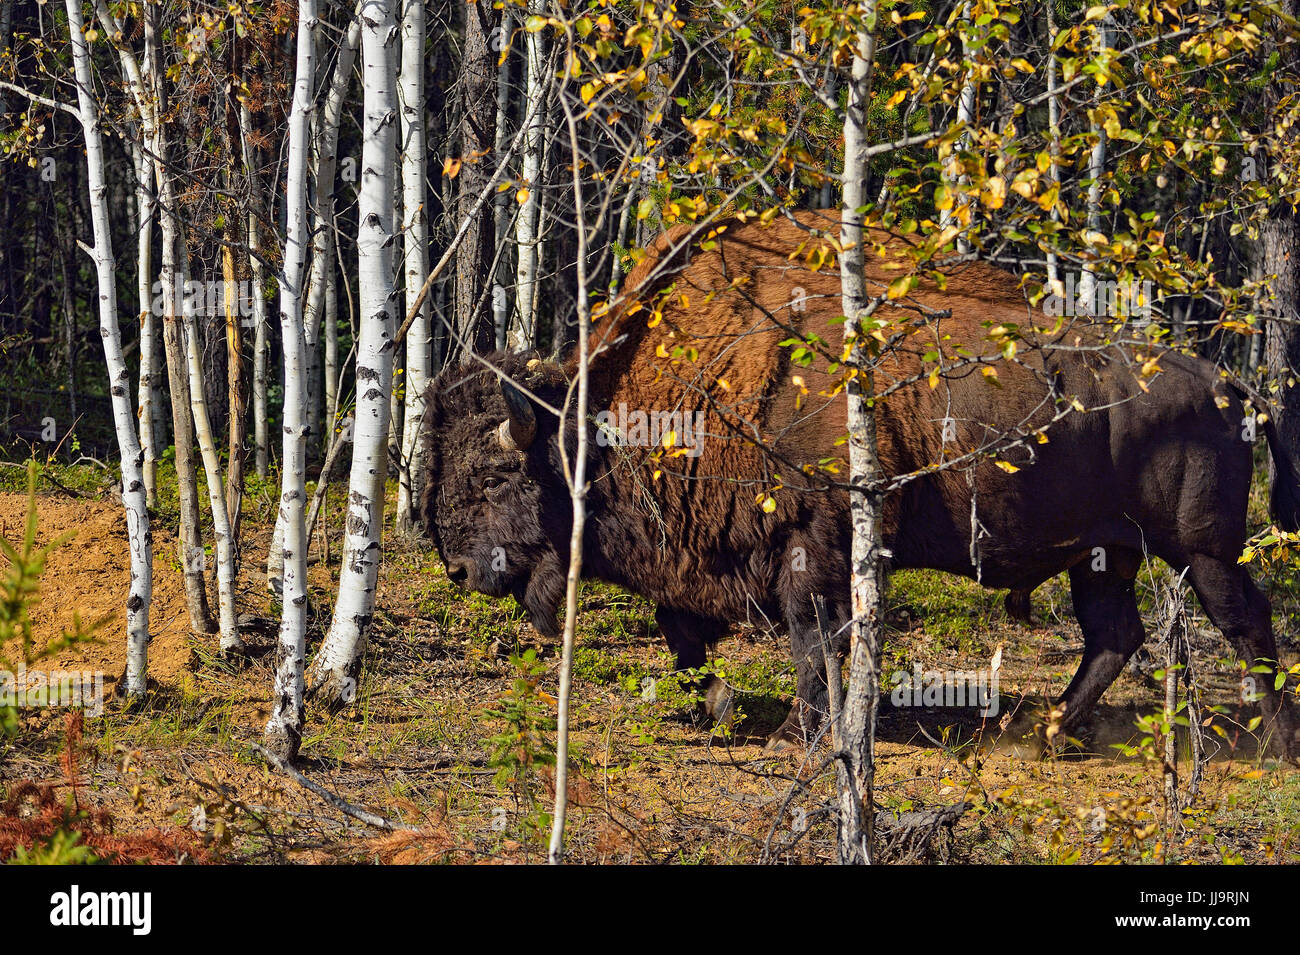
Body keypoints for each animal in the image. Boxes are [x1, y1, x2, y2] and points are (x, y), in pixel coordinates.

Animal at [422, 209, 1300, 756]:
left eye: (495, 472)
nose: (459, 568)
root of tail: (1227, 380)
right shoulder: (698, 557)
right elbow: (685, 636)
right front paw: (718, 709)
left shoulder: (813, 553)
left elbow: (813, 648)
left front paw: (806, 738)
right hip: (1105, 554)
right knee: (1113, 634)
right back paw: (1045, 733)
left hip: (1204, 552)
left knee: (1247, 625)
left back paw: (1277, 740)